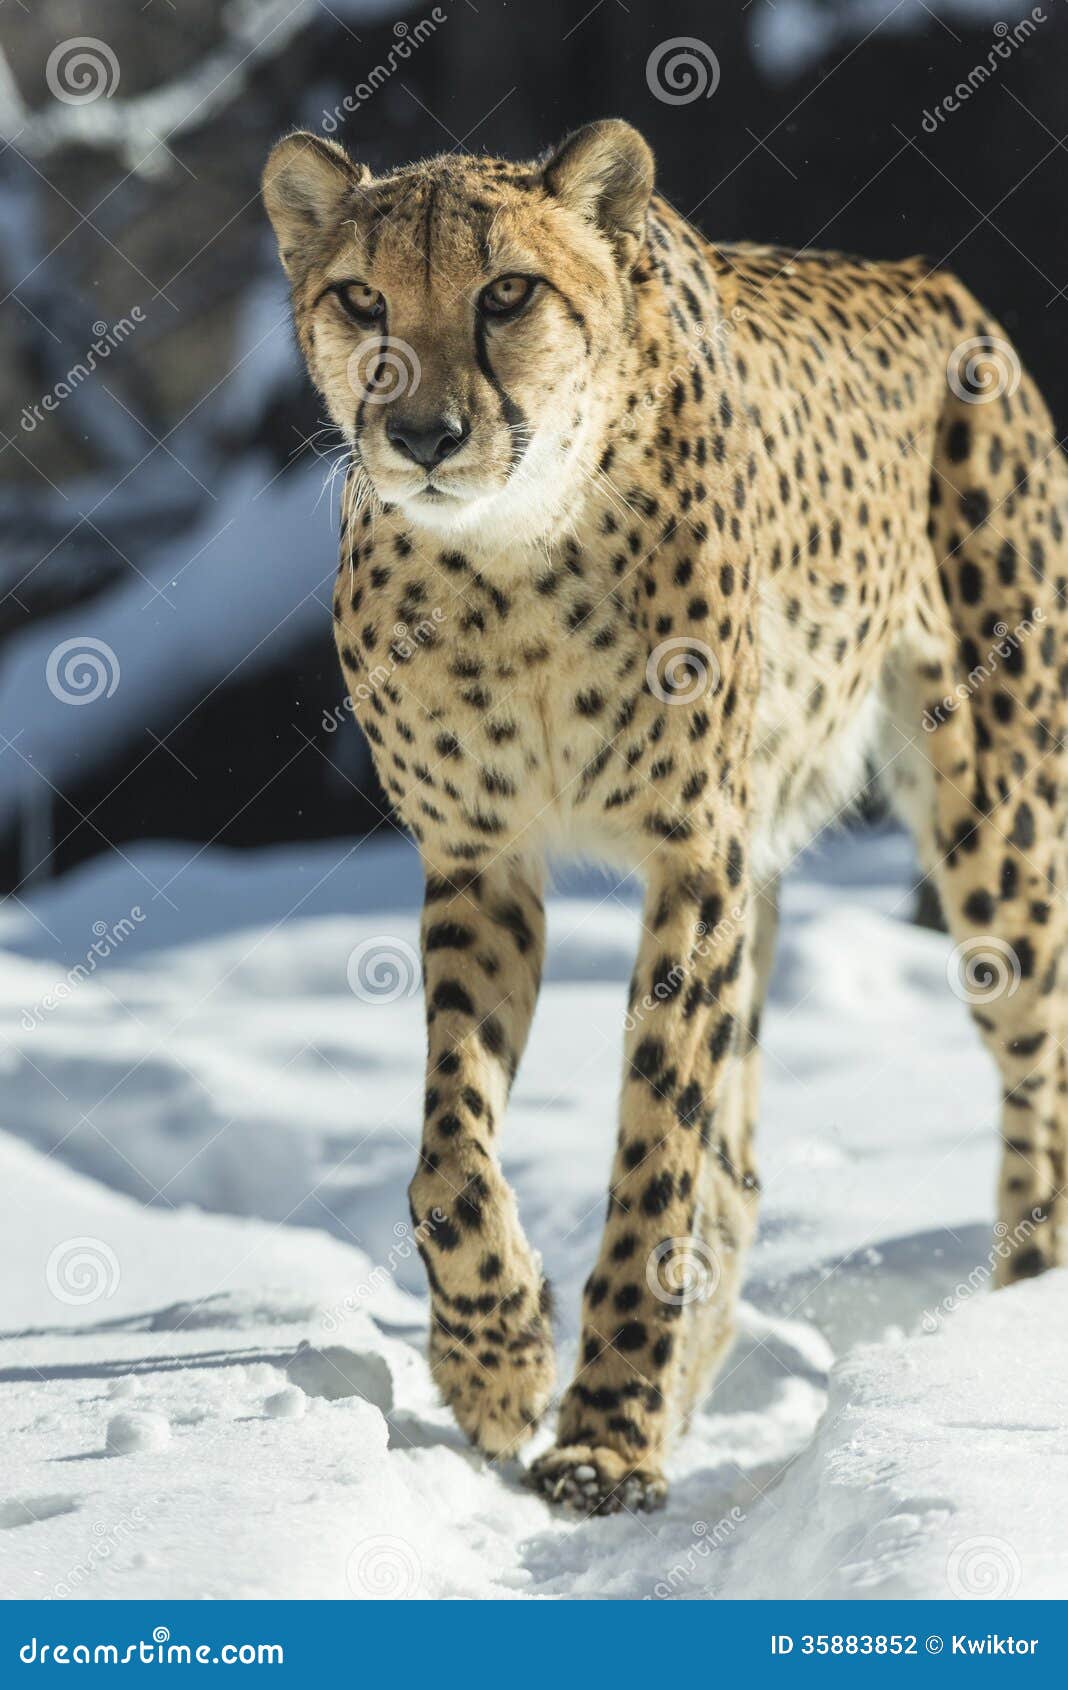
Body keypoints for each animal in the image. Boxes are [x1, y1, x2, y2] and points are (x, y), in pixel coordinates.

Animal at [263, 119, 1068, 1517]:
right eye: (361, 297)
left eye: (508, 292)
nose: (422, 431)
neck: (516, 562)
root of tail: (937, 283)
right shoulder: (479, 858)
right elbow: (450, 1148)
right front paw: (494, 1357)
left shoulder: (696, 858)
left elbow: (653, 1151)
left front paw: (604, 1436)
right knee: (740, 1173)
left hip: (996, 832)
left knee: (1042, 1067)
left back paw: (1014, 1316)